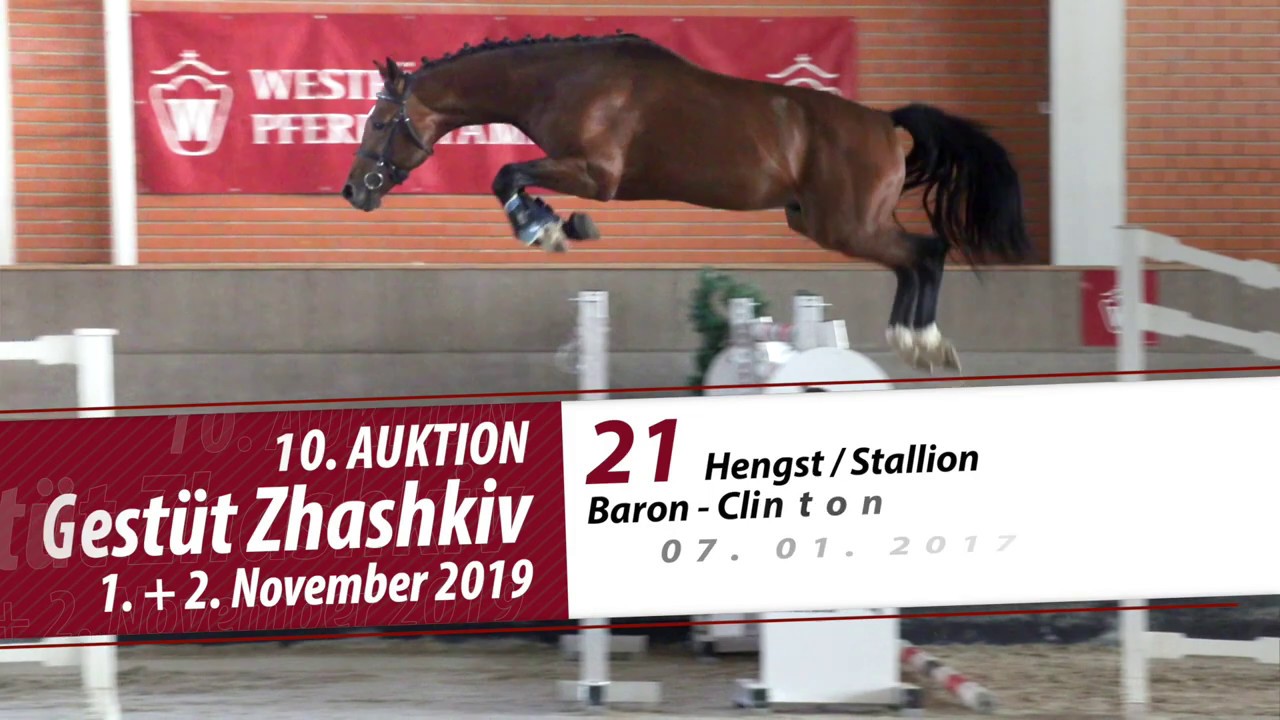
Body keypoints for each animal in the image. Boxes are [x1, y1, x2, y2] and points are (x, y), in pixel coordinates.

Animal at [341, 32, 1031, 373]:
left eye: (380, 121)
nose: (354, 191)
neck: (564, 78)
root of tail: (886, 123)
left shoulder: (594, 173)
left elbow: (507, 174)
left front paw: (547, 228)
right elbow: (512, 176)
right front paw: (561, 224)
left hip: (847, 225)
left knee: (926, 252)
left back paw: (922, 341)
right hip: (826, 222)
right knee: (914, 260)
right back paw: (916, 343)